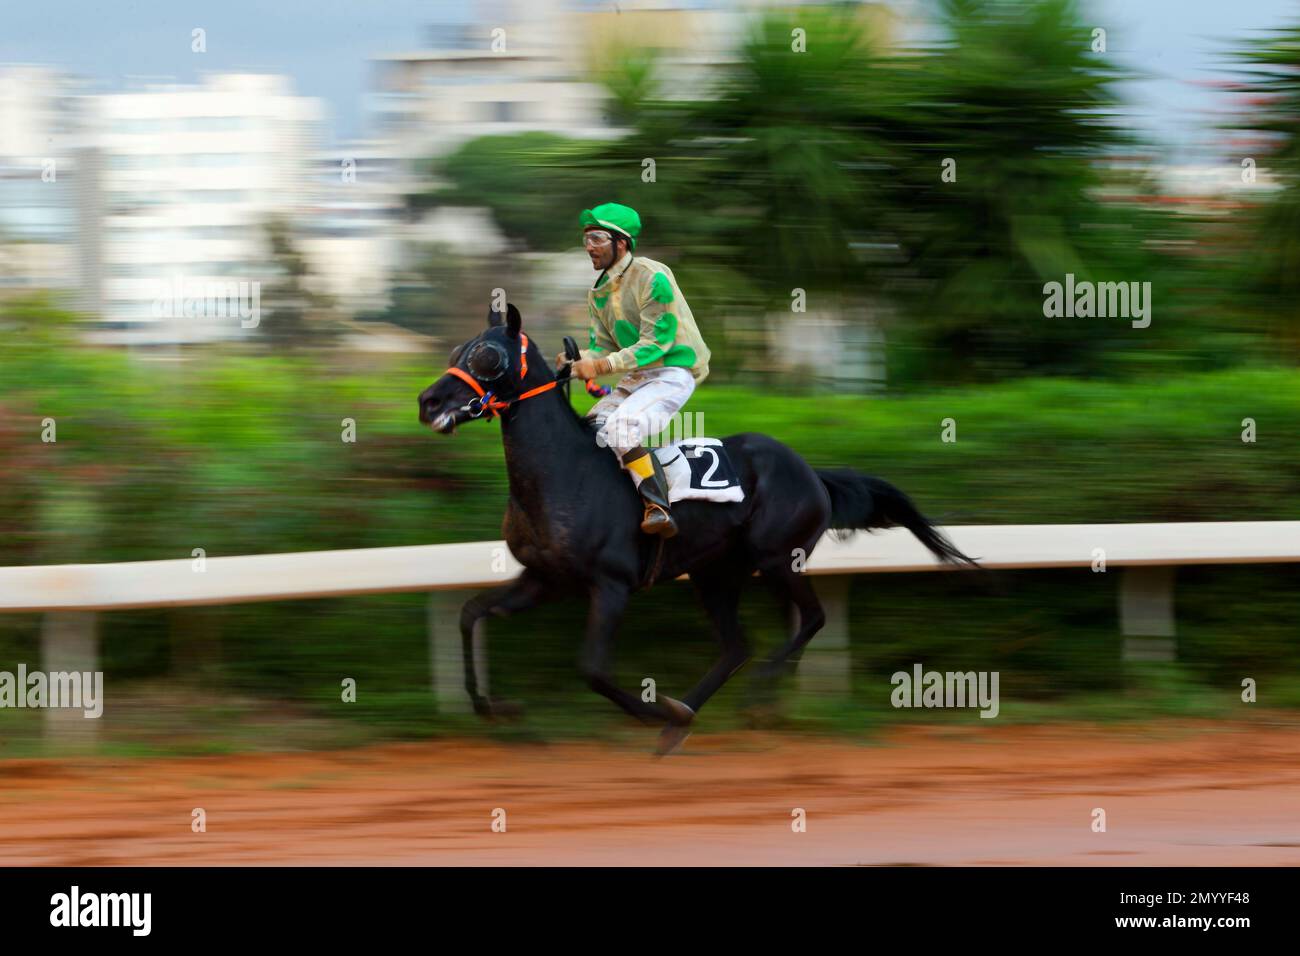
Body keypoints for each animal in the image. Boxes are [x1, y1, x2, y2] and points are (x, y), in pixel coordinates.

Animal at [418, 303, 977, 754]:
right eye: (458, 348)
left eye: (487, 356)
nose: (428, 402)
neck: (562, 472)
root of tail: (812, 472)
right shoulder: (544, 579)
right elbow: (469, 614)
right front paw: (493, 706)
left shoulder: (611, 584)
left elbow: (592, 669)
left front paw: (652, 711)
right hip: (716, 575)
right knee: (737, 647)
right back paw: (689, 713)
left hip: (777, 558)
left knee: (811, 618)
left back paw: (754, 693)